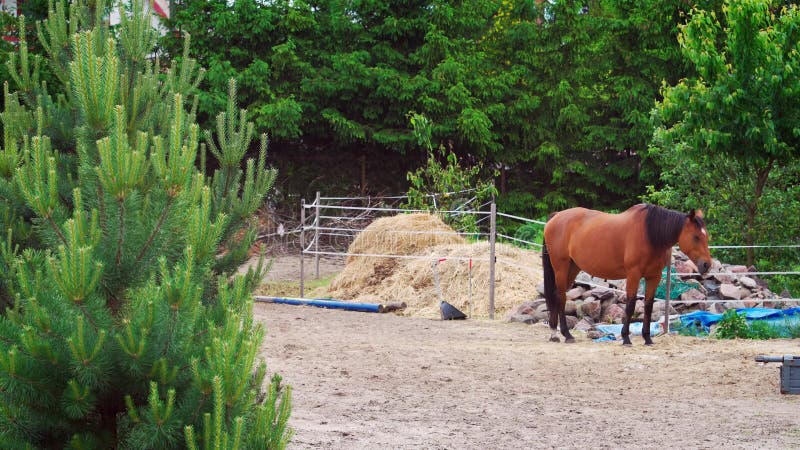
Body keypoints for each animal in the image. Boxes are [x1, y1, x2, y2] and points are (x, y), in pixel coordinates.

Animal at [542, 204, 712, 345]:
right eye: (696, 237)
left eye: (706, 236)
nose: (707, 265)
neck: (649, 234)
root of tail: (556, 216)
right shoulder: (633, 274)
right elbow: (630, 305)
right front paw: (626, 338)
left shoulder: (654, 276)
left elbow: (648, 306)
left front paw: (647, 338)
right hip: (561, 267)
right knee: (561, 297)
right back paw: (566, 335)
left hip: (572, 268)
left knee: (557, 295)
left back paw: (554, 334)